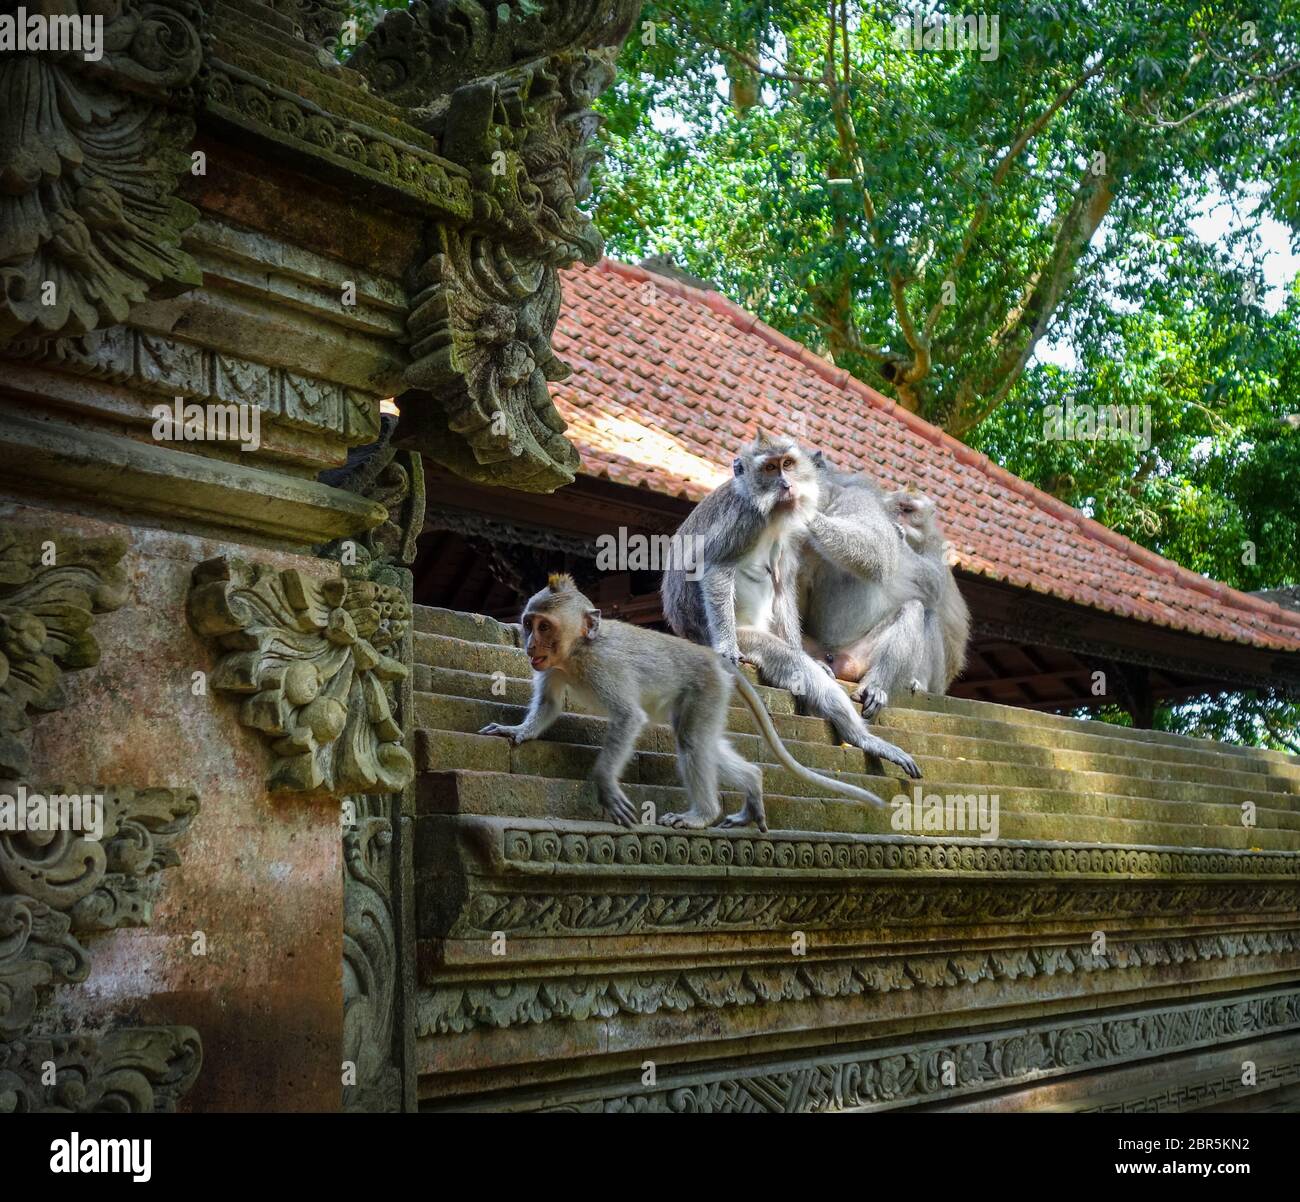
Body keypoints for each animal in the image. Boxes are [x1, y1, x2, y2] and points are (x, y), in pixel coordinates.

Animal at [478, 574, 893, 832]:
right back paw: (752, 785)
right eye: (529, 623)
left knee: (692, 741)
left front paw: (605, 784)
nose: (530, 644)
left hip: (706, 688)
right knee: (700, 740)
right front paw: (516, 731)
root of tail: (715, 657)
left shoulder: (602, 667)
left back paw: (702, 815)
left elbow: (628, 718)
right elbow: (549, 707)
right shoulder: (551, 669)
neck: (576, 652)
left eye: (544, 626)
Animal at [661, 431, 920, 781]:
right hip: (743, 634)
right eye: (770, 468)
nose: (786, 486)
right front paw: (726, 649)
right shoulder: (746, 518)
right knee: (789, 661)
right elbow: (715, 567)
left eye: (787, 464)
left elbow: (783, 585)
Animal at [801, 467, 969, 719]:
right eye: (898, 508)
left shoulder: (935, 546)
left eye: (909, 511)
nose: (900, 520)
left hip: (936, 681)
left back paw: (909, 683)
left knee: (927, 612)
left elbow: (933, 583)